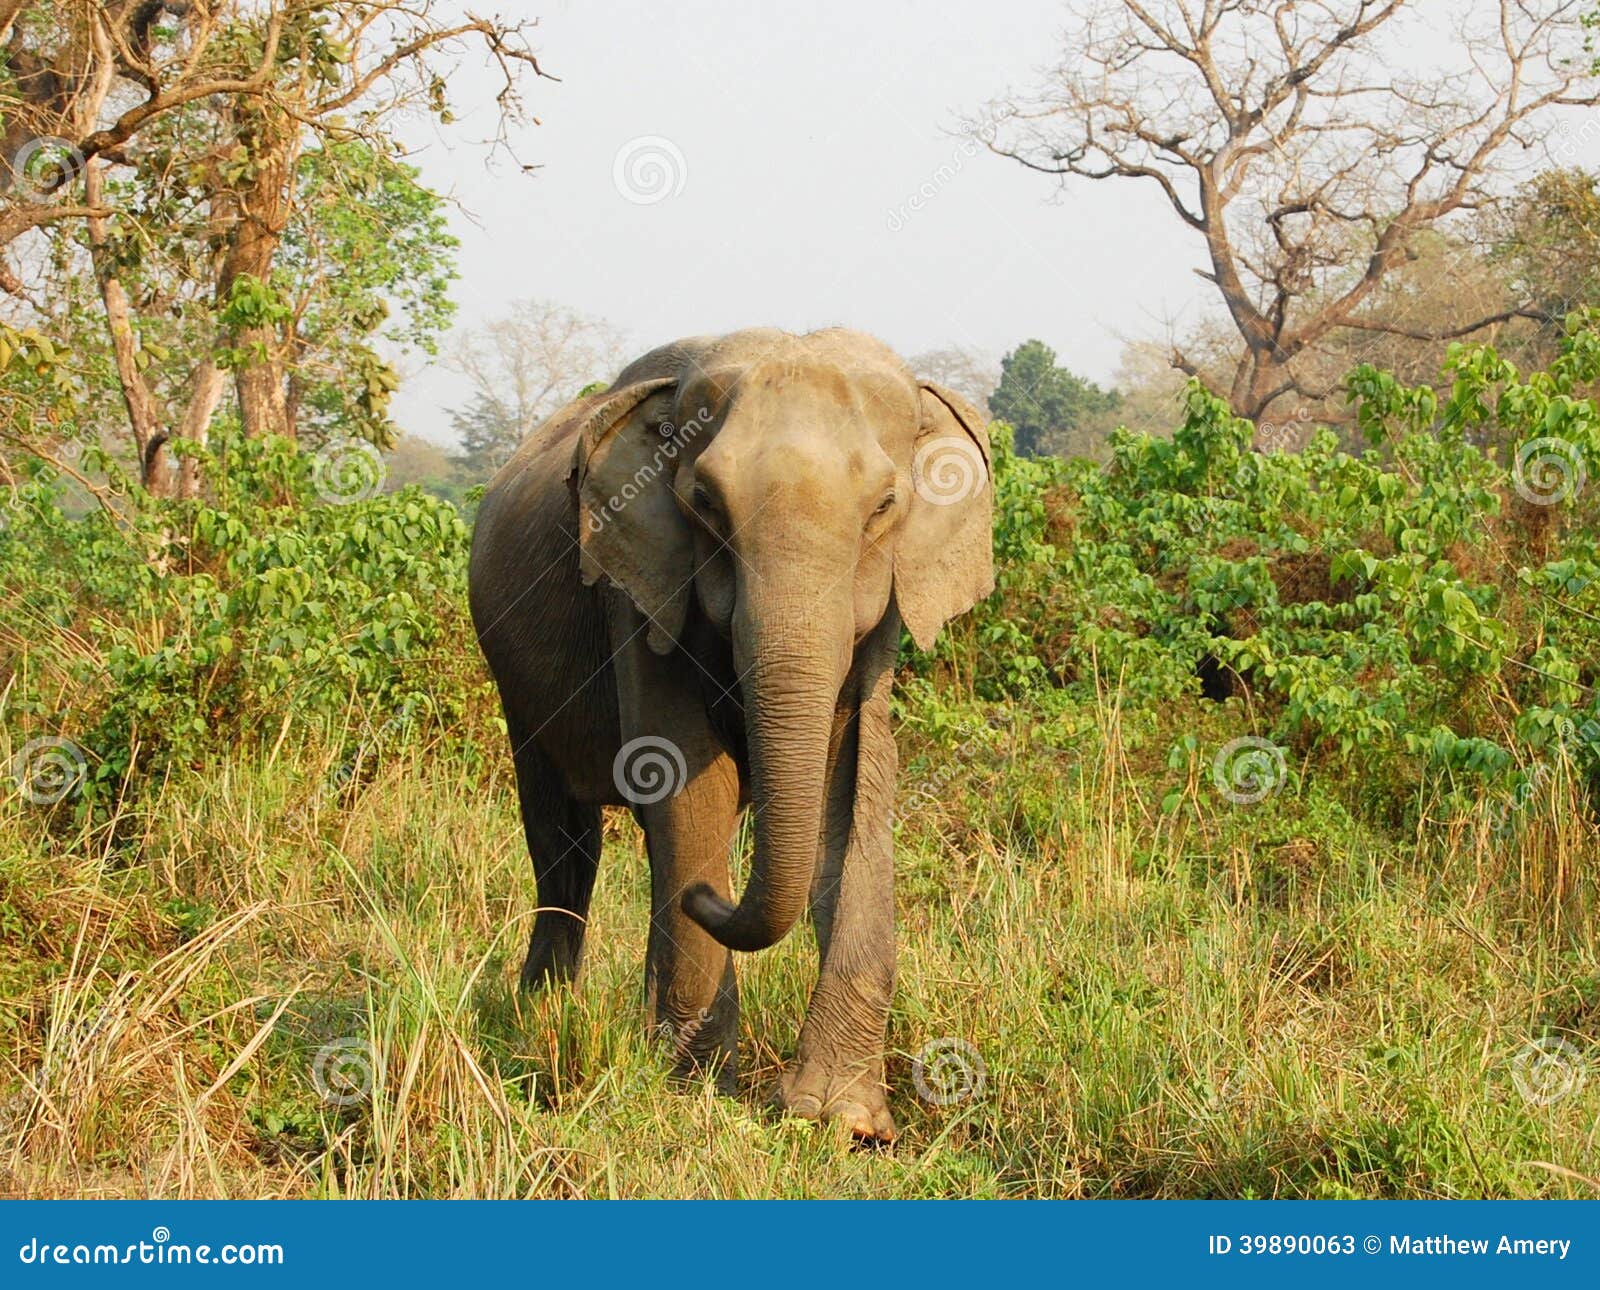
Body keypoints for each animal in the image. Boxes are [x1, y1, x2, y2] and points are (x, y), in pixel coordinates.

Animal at [467, 328, 985, 1145]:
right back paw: (540, 1014)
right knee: (563, 843)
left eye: (884, 507)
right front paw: (697, 1095)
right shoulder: (639, 585)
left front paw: (842, 1121)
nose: (712, 893)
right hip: (514, 679)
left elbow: (858, 787)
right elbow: (684, 781)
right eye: (705, 506)